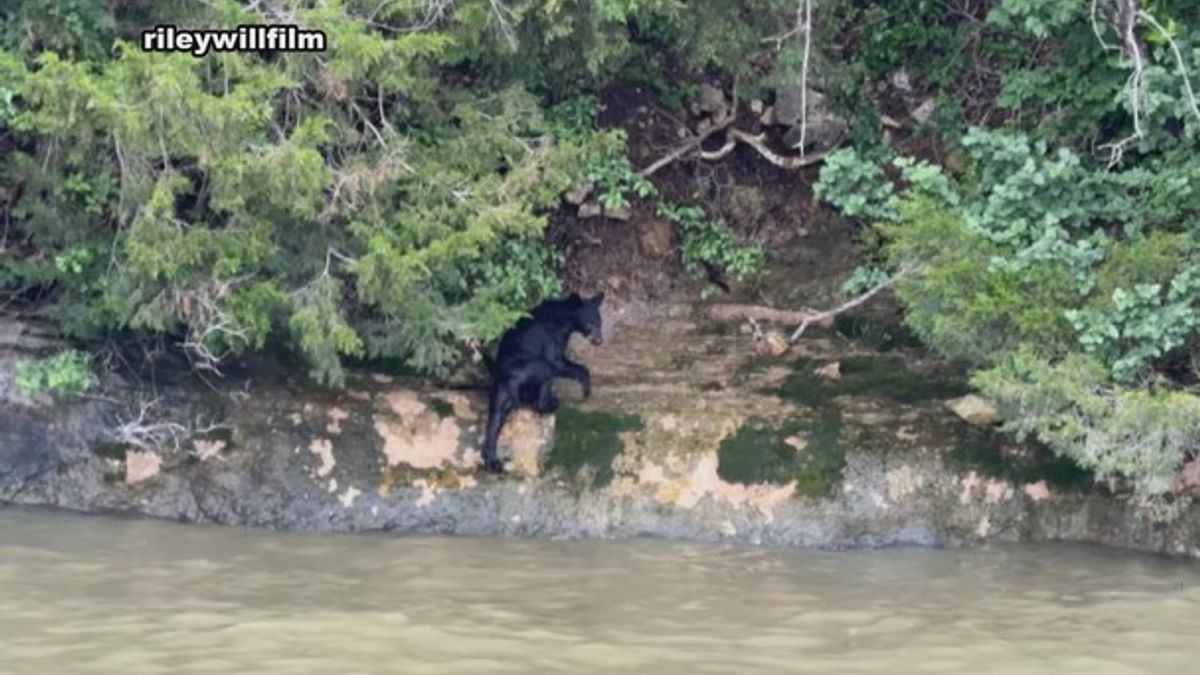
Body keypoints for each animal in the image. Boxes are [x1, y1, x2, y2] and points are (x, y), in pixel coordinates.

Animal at [480, 292, 605, 473]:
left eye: (600, 322)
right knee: (546, 373)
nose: (599, 340)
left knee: (495, 417)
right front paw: (586, 388)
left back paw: (492, 461)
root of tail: (506, 375)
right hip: (531, 365)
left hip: (500, 388)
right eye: (590, 323)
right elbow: (559, 361)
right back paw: (549, 403)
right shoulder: (550, 338)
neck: (562, 320)